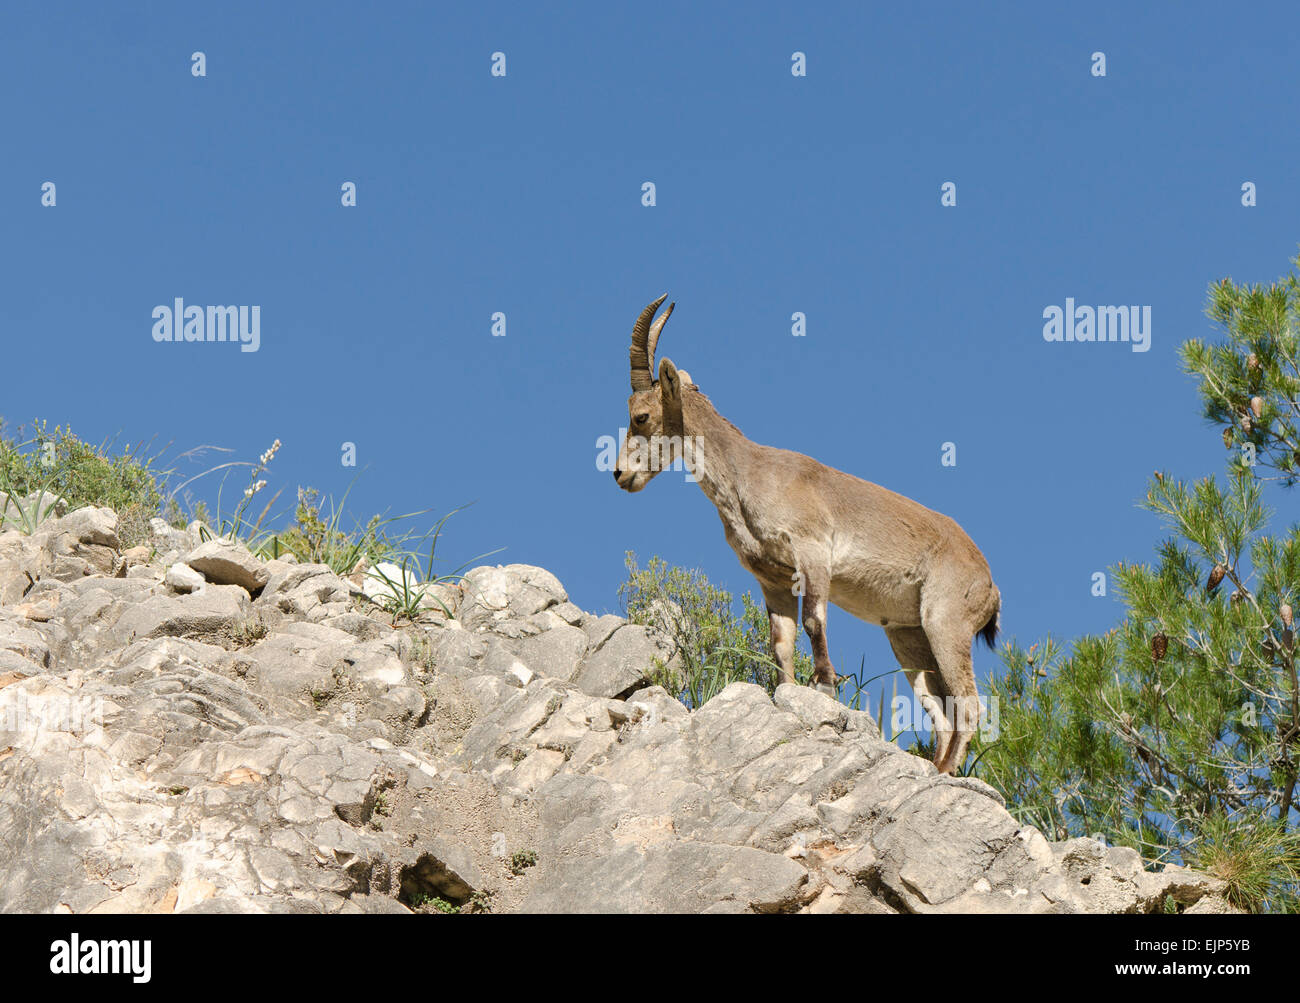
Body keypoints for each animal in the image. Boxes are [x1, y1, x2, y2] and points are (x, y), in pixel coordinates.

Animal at [612, 295, 1001, 775]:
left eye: (641, 415)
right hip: (908, 636)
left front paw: (825, 686)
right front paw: (790, 692)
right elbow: (781, 643)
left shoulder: (812, 551)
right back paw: (937, 768)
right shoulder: (772, 579)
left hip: (947, 621)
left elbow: (815, 621)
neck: (748, 475)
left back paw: (946, 773)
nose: (619, 474)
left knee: (969, 704)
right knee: (940, 710)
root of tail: (989, 586)